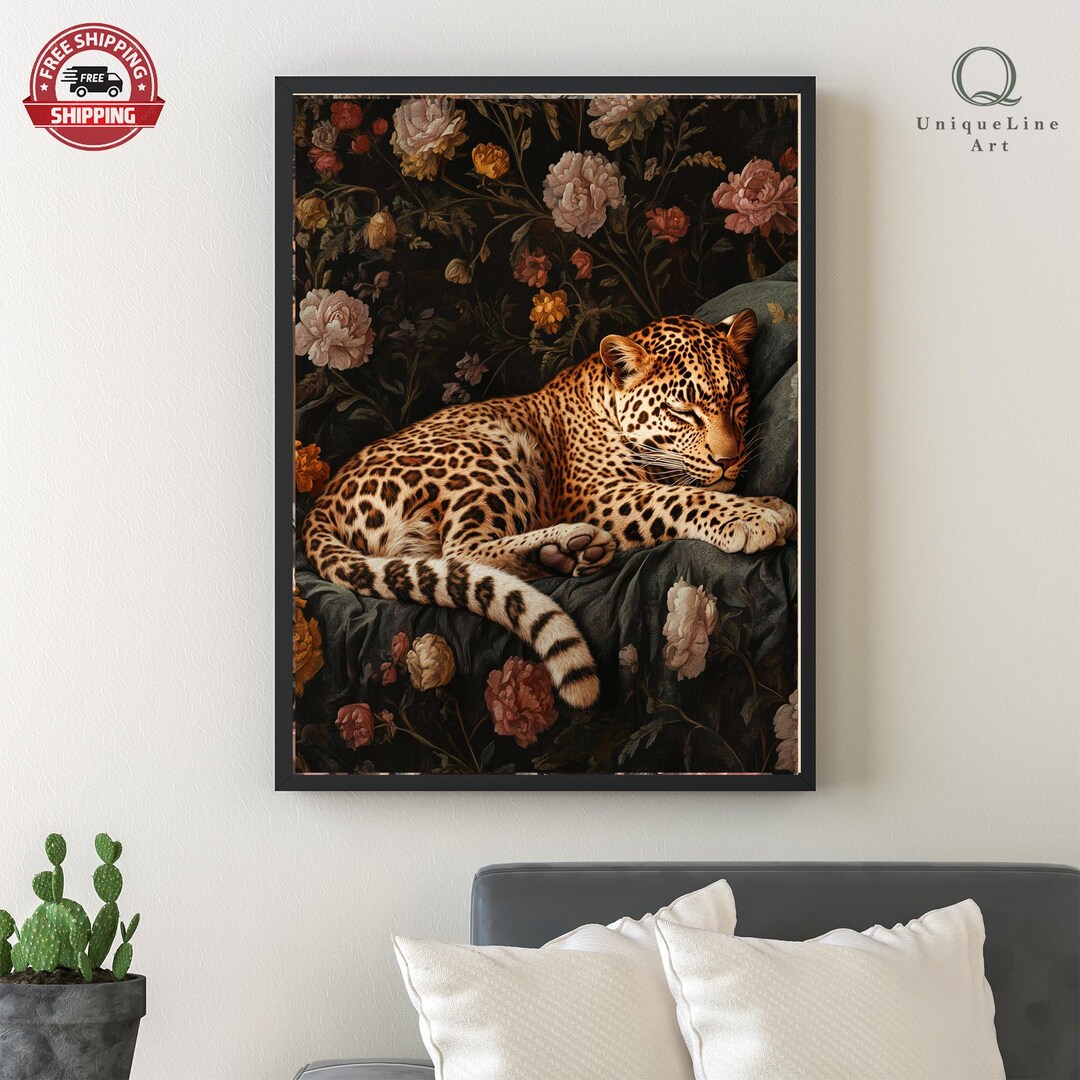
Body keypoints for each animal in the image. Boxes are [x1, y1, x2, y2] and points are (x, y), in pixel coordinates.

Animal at [302, 309, 797, 709]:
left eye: (738, 402)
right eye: (683, 412)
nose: (729, 460)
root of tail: (319, 506)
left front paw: (761, 502)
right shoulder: (598, 494)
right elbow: (676, 498)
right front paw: (753, 515)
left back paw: (566, 553)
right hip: (491, 452)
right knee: (459, 553)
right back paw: (573, 543)